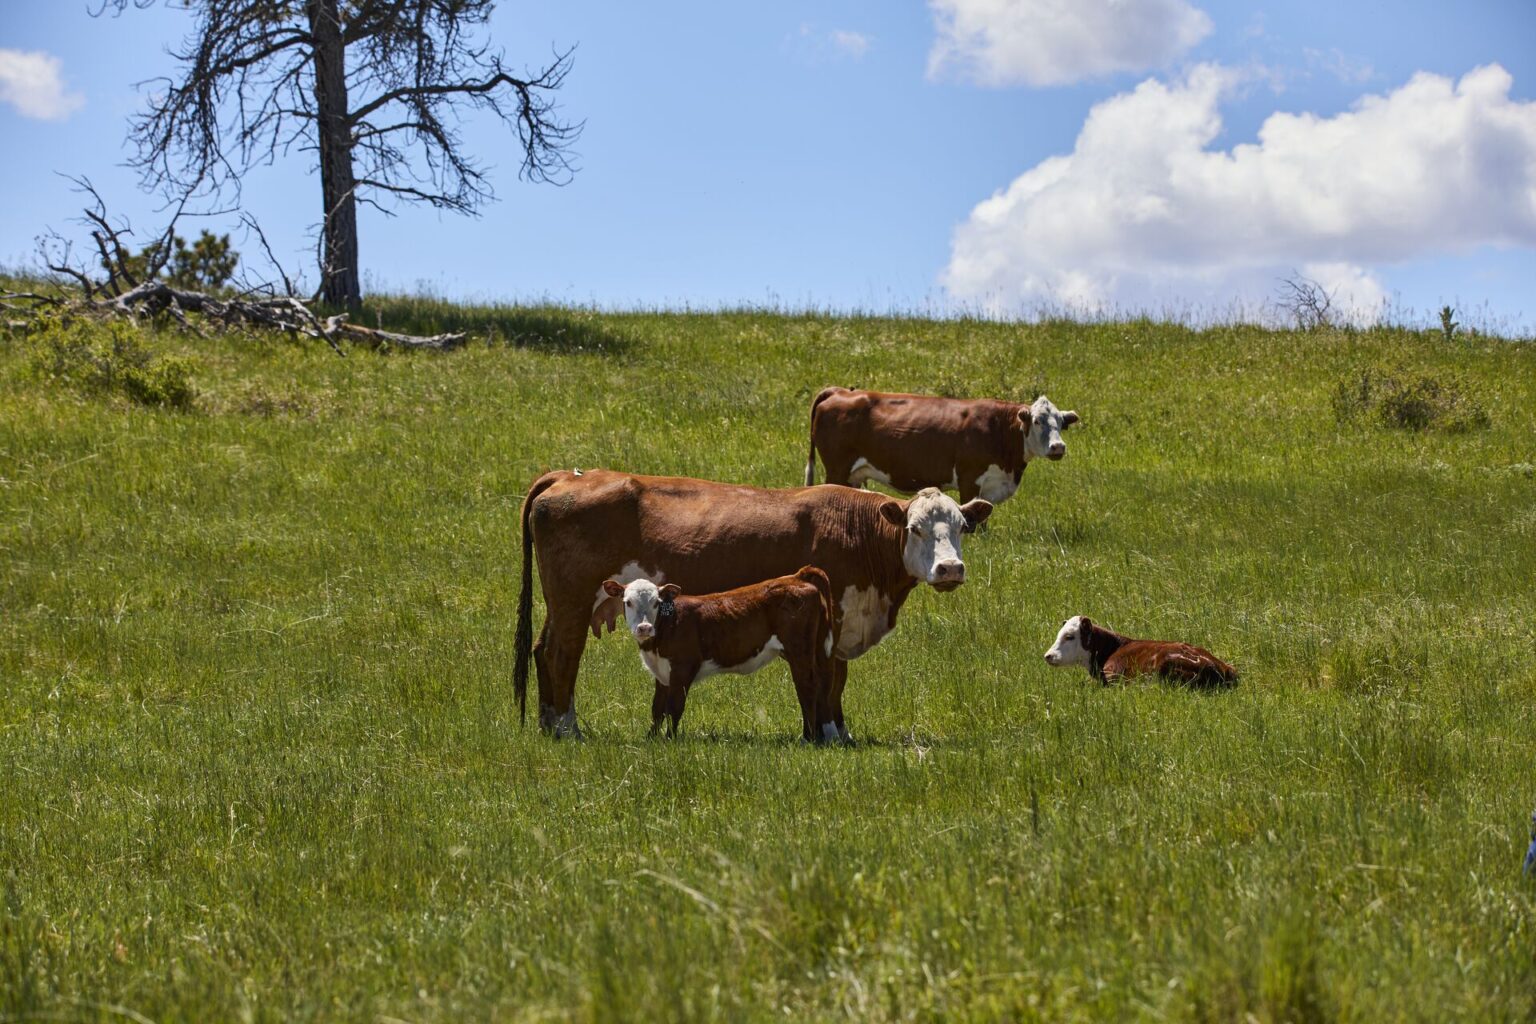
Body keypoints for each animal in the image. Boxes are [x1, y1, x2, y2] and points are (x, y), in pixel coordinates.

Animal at [603, 566, 835, 739]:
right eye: (627, 602)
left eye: (656, 602)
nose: (644, 628)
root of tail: (796, 576)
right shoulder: (661, 671)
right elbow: (657, 708)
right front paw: (651, 738)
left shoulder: (683, 666)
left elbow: (674, 706)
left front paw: (670, 739)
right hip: (811, 650)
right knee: (819, 683)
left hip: (799, 650)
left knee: (806, 687)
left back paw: (808, 737)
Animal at [804, 388, 1079, 506]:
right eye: (1037, 421)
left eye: (1061, 422)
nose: (1058, 447)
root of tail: (841, 391)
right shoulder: (970, 480)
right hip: (837, 469)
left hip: (853, 475)